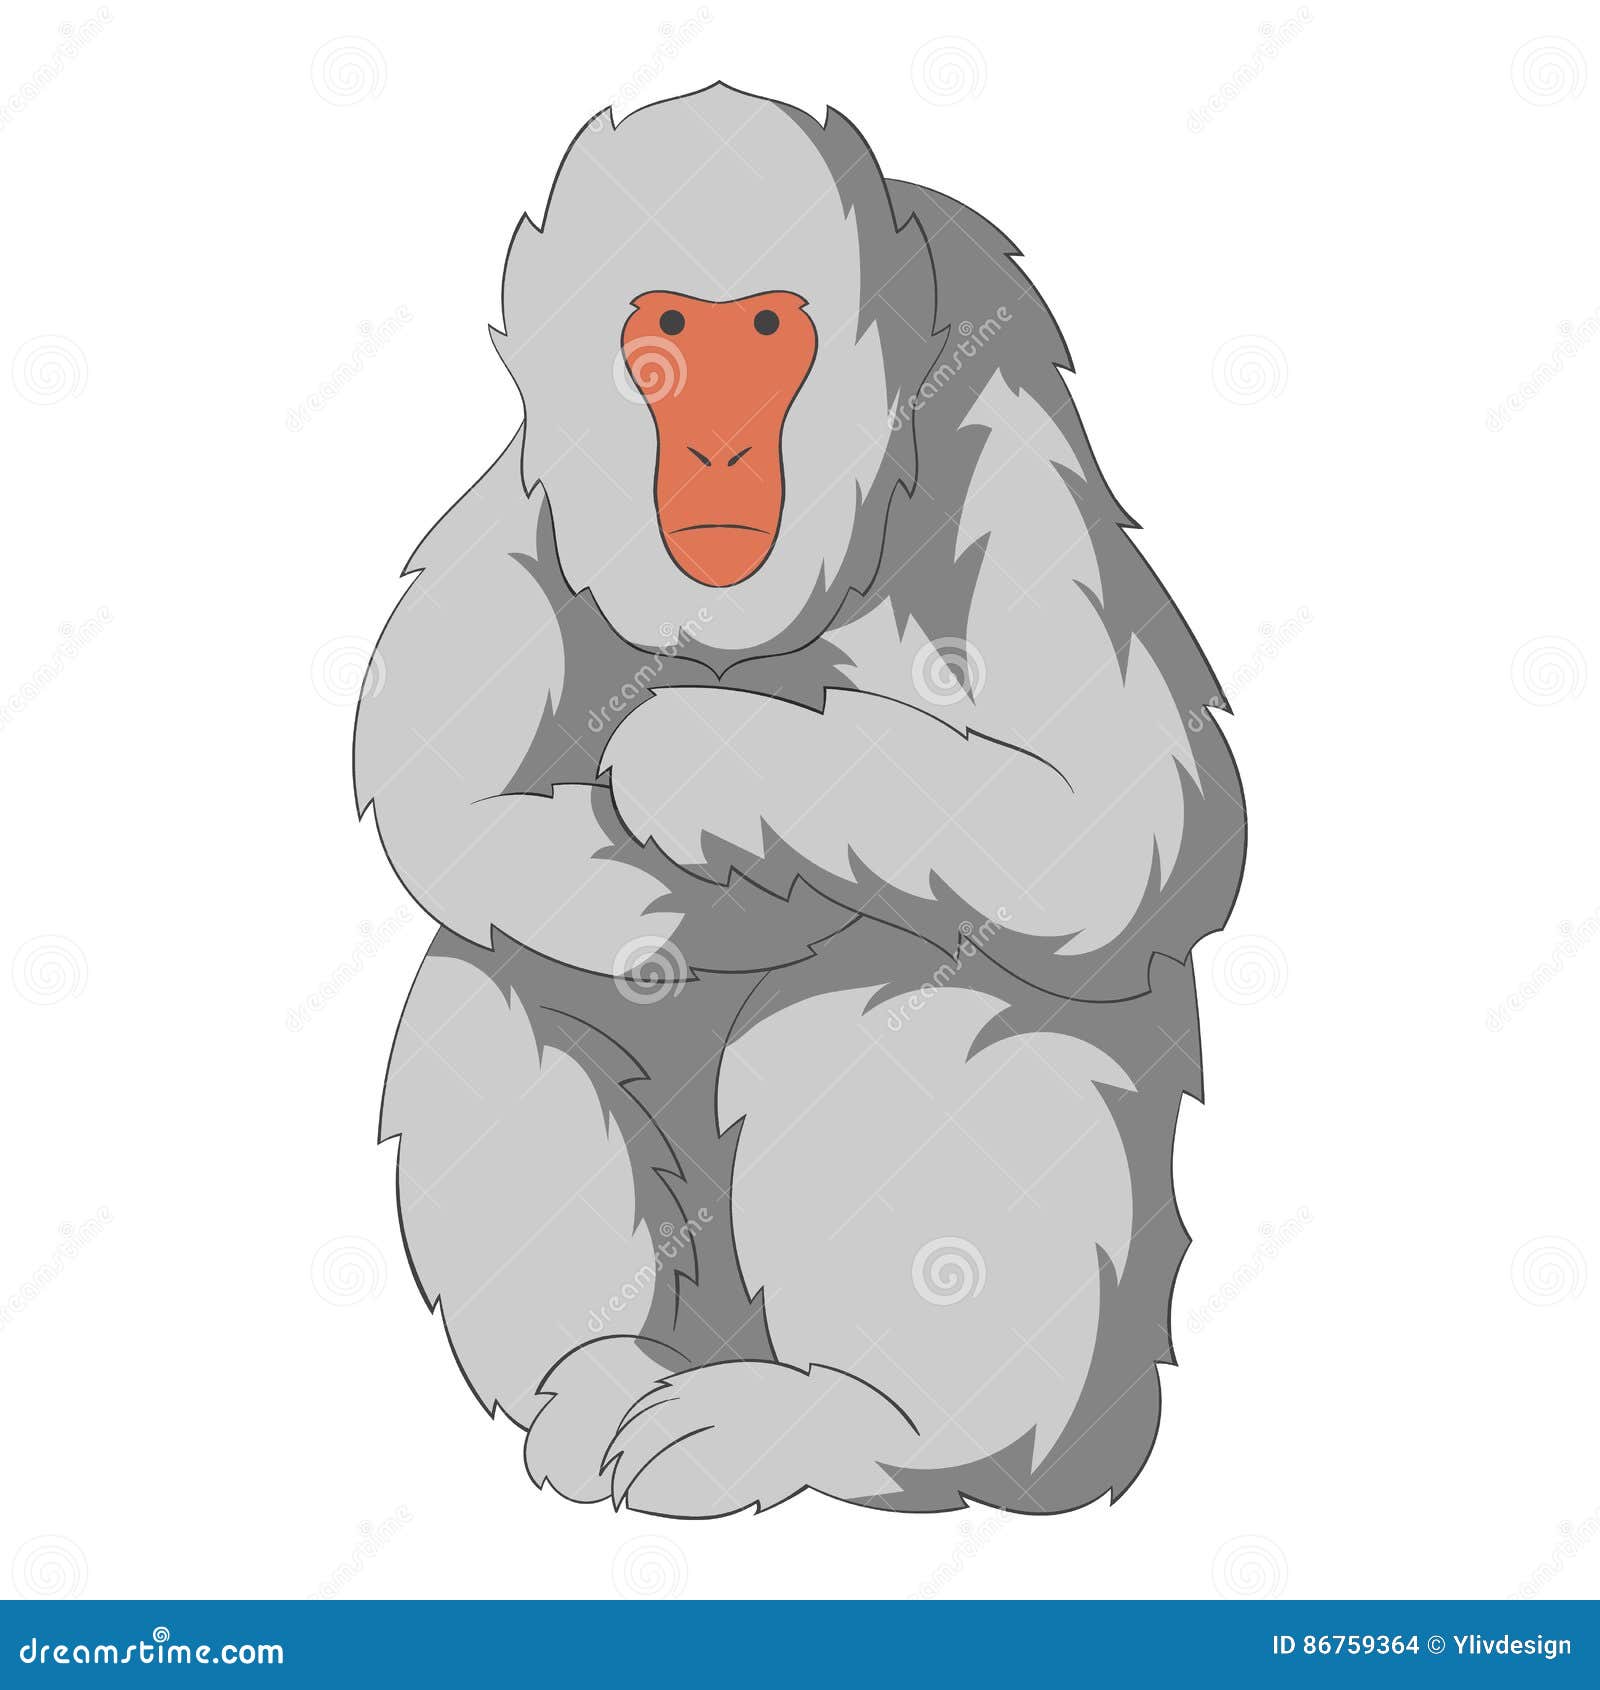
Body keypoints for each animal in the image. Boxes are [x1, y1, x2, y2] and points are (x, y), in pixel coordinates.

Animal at [354, 84, 1245, 1517]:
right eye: (665, 334)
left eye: (768, 333)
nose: (716, 443)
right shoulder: (533, 488)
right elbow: (436, 793)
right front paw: (684, 911)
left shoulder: (1007, 443)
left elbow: (1114, 828)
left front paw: (698, 760)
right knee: (487, 974)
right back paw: (591, 1372)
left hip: (1067, 1394)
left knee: (903, 989)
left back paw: (861, 1426)